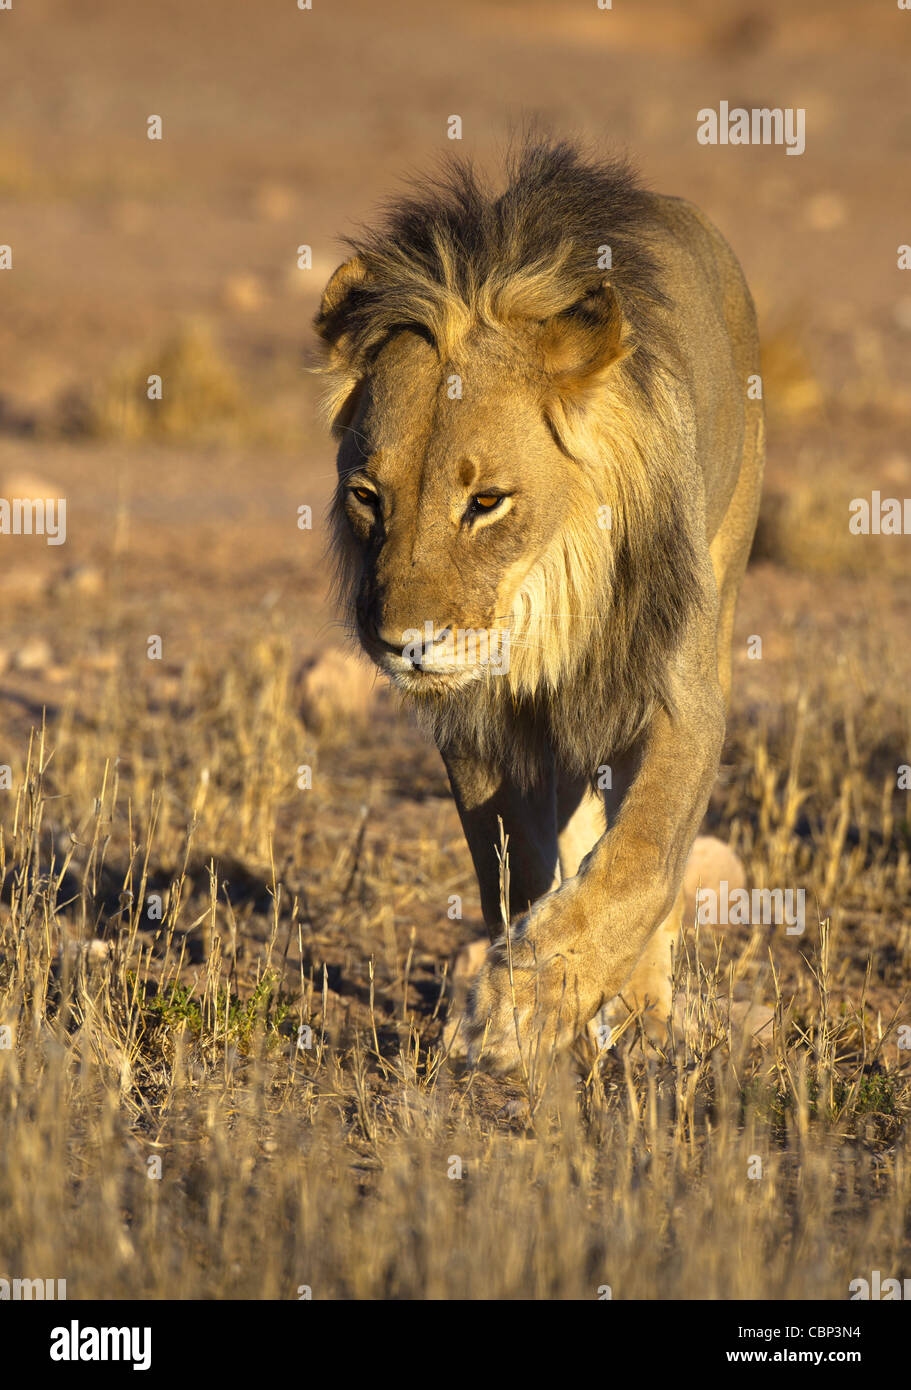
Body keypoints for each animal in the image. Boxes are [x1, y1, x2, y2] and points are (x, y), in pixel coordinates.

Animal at [315, 138, 764, 1072]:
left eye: (485, 502)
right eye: (367, 497)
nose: (400, 644)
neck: (546, 597)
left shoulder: (682, 694)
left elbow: (643, 857)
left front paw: (528, 1006)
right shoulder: (475, 723)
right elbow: (514, 864)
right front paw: (533, 991)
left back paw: (643, 1009)